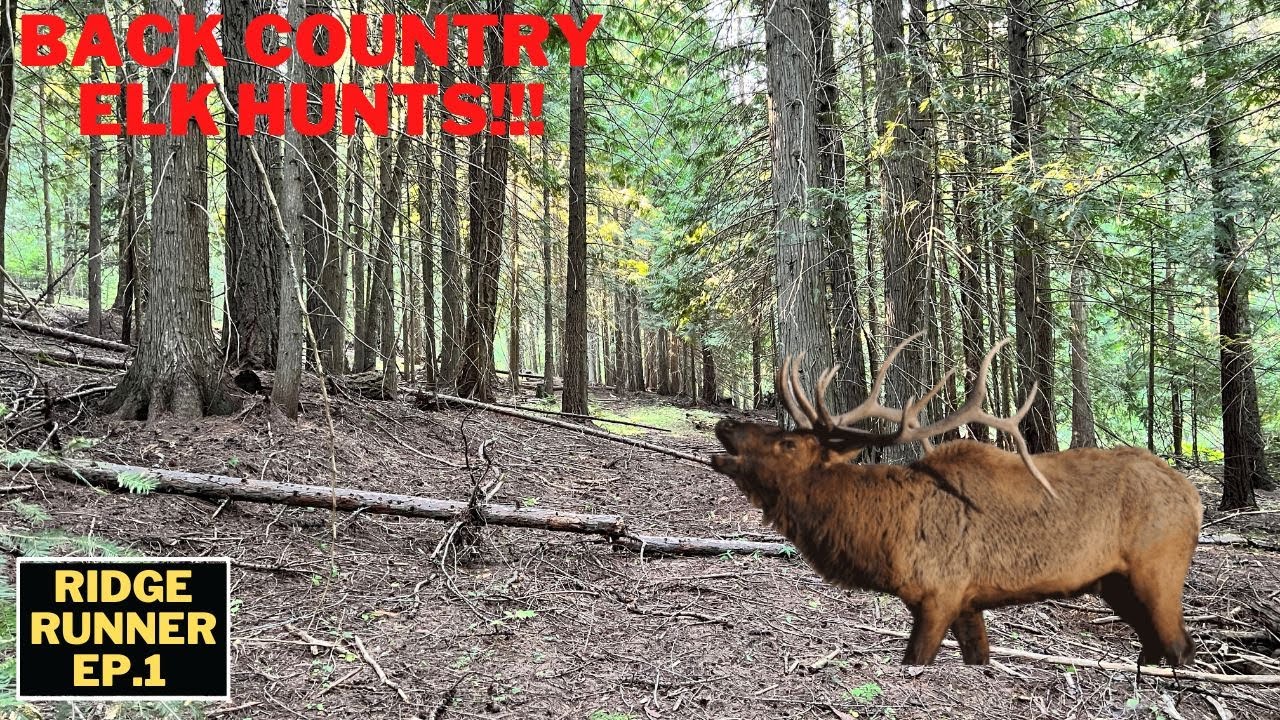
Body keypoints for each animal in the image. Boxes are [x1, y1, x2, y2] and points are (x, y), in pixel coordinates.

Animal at [710, 333, 1203, 666]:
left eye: (789, 443)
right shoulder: (969, 600)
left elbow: (916, 657)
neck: (883, 537)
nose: (725, 423)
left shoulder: (940, 593)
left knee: (1181, 645)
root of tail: (1193, 495)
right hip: (1115, 583)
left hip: (1158, 568)